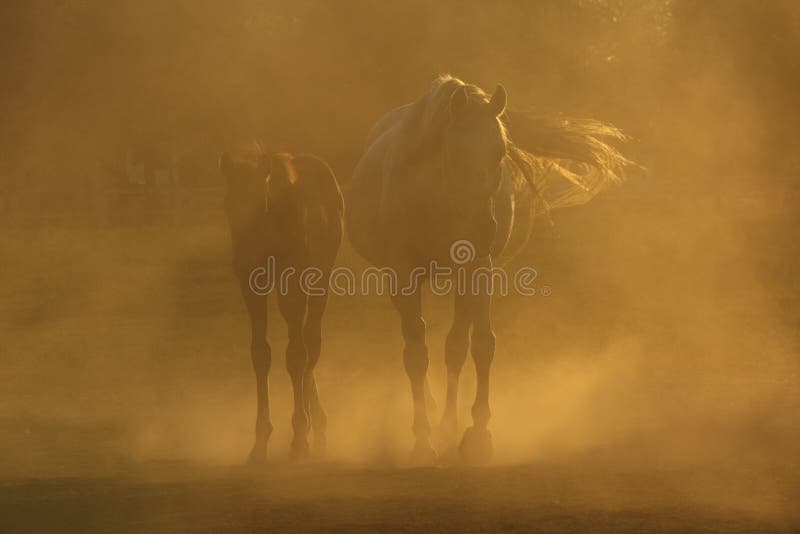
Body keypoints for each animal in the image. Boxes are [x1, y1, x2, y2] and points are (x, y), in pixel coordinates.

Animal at [219, 148, 343, 464]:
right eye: (227, 204)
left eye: (261, 203)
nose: (241, 261)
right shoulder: (253, 287)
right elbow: (261, 354)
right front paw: (260, 440)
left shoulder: (293, 283)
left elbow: (297, 356)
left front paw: (299, 435)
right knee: (303, 344)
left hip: (318, 281)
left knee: (310, 344)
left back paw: (316, 427)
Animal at [345, 75, 632, 465]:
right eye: (455, 152)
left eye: (499, 152)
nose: (484, 229)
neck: (434, 196)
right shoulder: (403, 275)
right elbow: (417, 356)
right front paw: (422, 440)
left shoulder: (478, 270)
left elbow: (480, 345)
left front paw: (478, 434)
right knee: (417, 343)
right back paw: (433, 417)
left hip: (462, 280)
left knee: (454, 347)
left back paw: (449, 426)